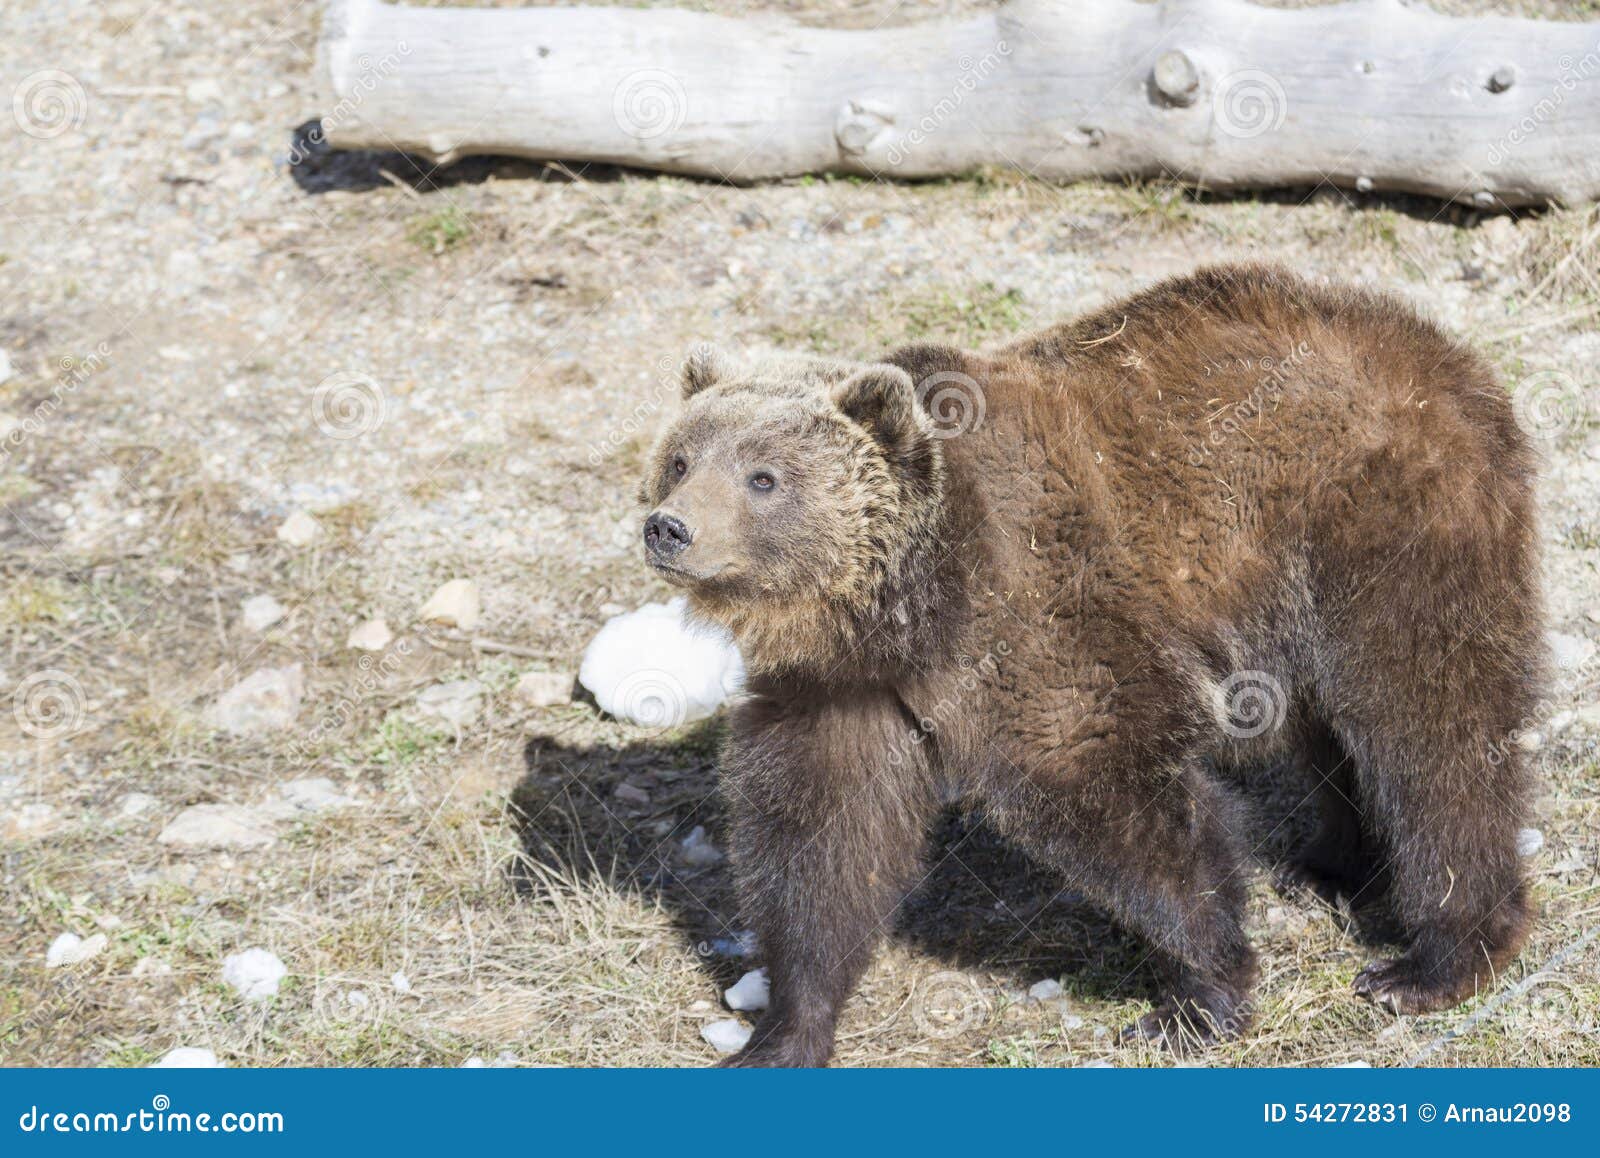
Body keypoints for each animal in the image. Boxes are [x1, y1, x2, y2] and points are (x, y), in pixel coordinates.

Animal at [638, 262, 1541, 1067]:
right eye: (680, 459)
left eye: (764, 477)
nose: (669, 527)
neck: (904, 608)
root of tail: (1438, 348)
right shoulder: (839, 689)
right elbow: (819, 843)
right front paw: (780, 1033)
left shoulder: (1027, 609)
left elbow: (1115, 789)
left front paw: (1197, 997)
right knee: (1341, 730)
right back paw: (1330, 863)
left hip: (1382, 523)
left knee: (1430, 723)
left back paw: (1435, 958)